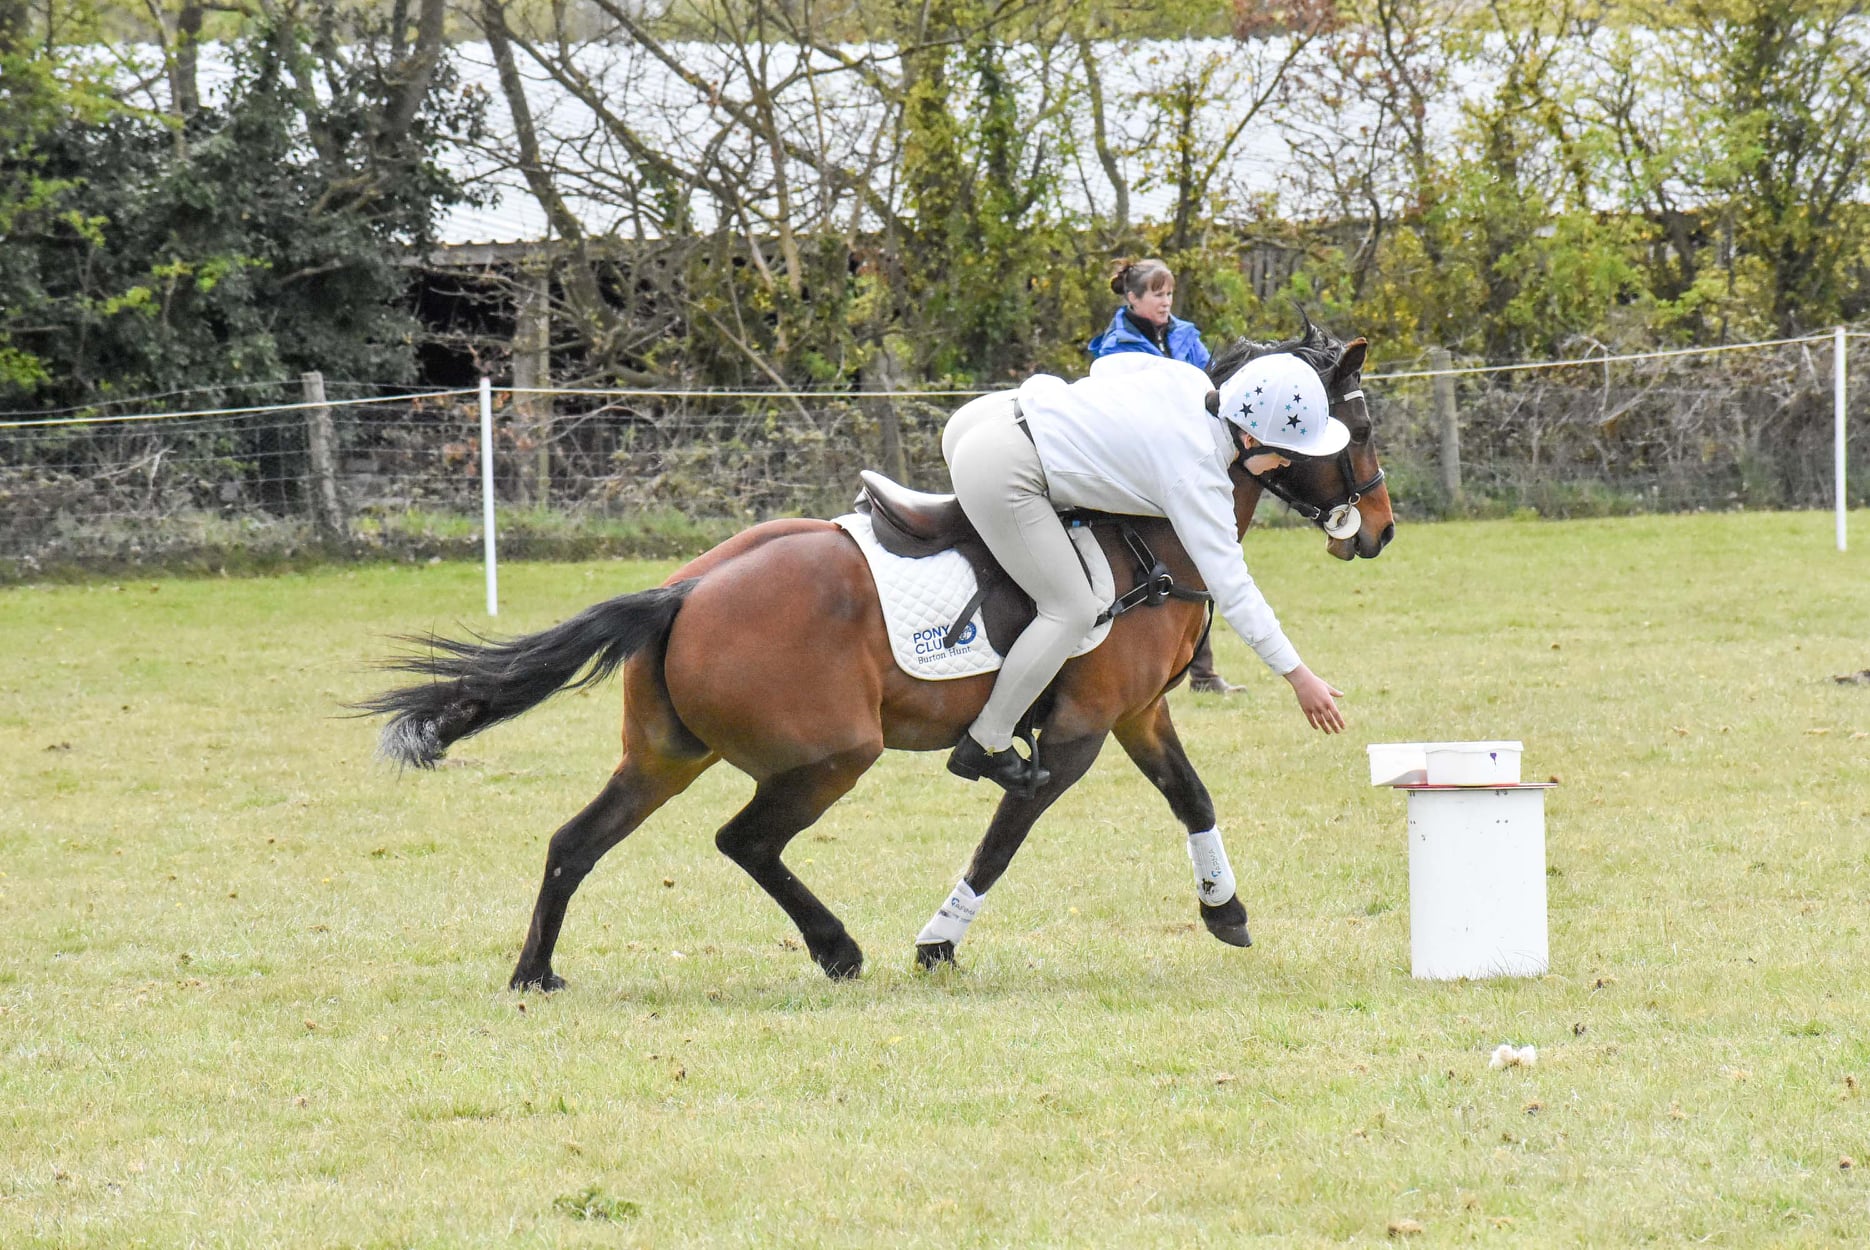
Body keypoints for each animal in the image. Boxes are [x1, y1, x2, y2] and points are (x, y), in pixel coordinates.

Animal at [360, 321, 1394, 990]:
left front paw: (1225, 909)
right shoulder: (1078, 734)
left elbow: (1193, 798)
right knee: (744, 841)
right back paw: (837, 949)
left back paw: (536, 973)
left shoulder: (1138, 715)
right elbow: (1001, 842)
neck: (1154, 526)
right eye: (1360, 430)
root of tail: (684, 591)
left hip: (663, 756)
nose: (1380, 529)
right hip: (831, 755)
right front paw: (938, 943)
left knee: (574, 842)